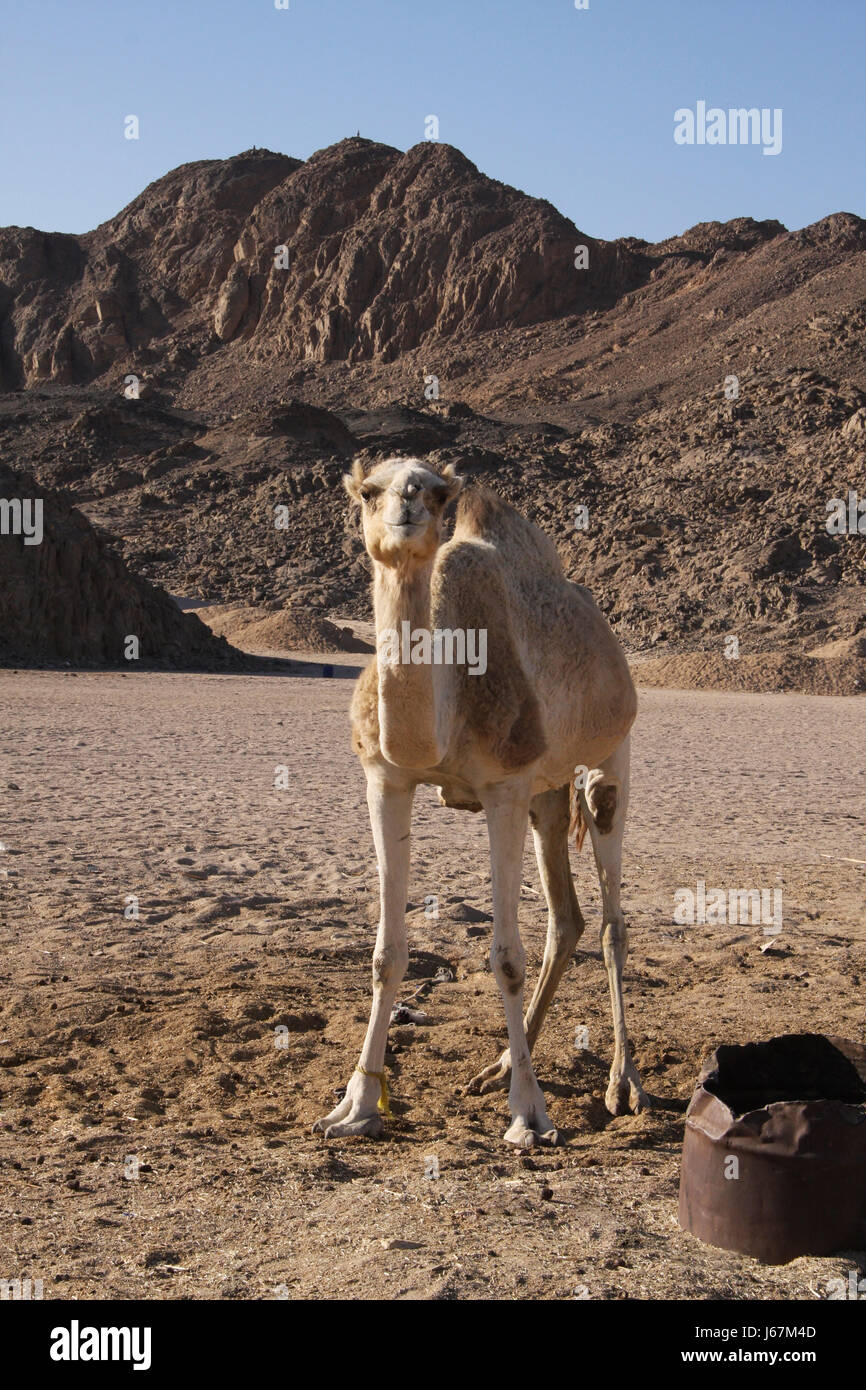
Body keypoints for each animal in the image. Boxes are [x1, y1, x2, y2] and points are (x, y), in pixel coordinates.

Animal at [313, 455, 648, 1147]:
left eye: (440, 493)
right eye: (368, 491)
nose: (408, 505)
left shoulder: (503, 787)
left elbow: (506, 957)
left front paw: (529, 1115)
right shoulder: (385, 779)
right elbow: (387, 954)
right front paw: (356, 1105)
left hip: (611, 753)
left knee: (610, 922)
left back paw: (622, 1083)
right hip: (547, 795)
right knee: (567, 919)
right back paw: (497, 1067)